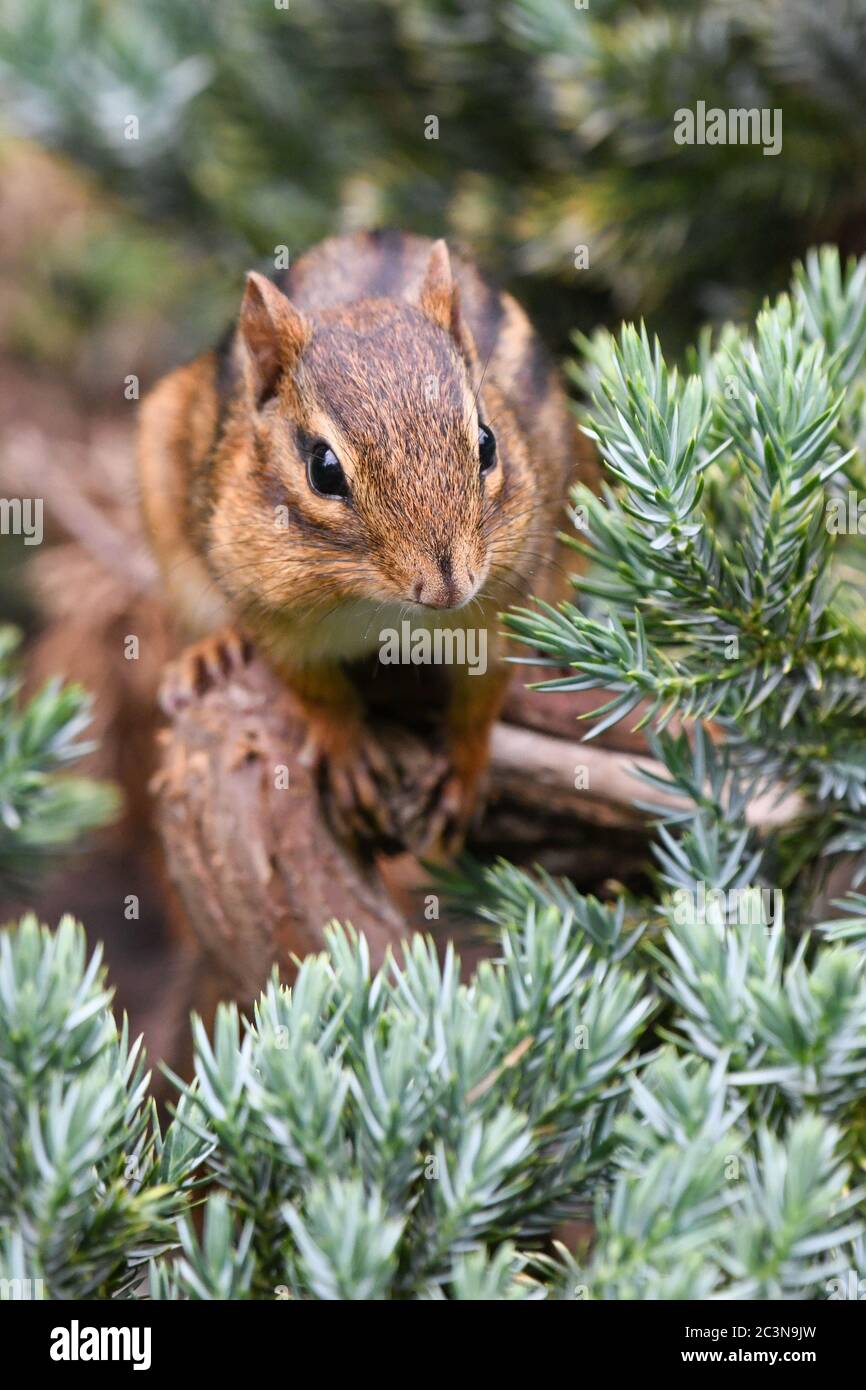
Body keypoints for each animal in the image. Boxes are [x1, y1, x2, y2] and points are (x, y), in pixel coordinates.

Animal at [137, 230, 575, 855]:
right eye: (324, 470)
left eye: (488, 443)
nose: (448, 587)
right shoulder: (268, 606)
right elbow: (313, 688)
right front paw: (346, 753)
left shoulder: (504, 602)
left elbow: (483, 698)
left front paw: (464, 772)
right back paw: (211, 652)